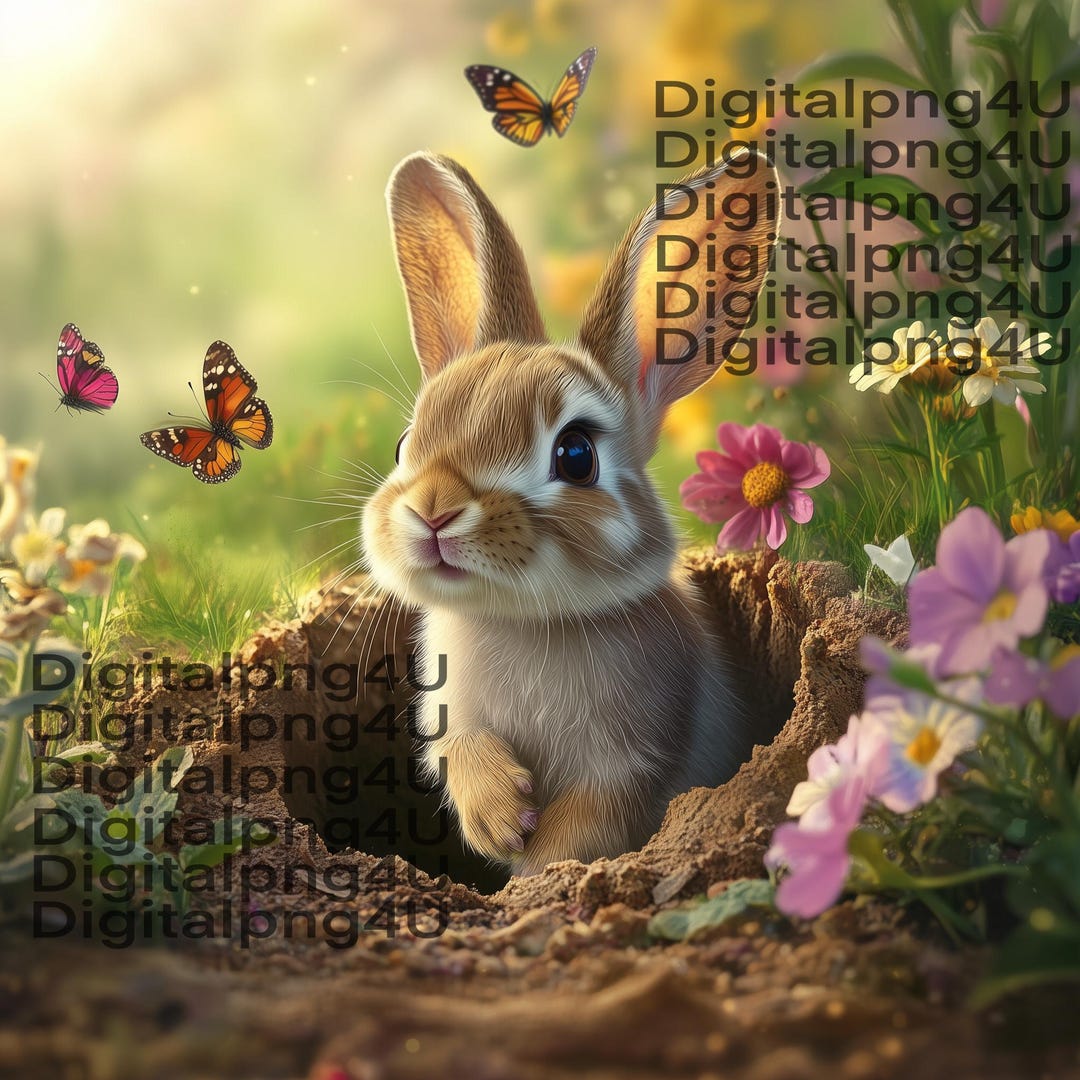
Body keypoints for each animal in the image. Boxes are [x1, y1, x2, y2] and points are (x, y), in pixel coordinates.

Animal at [362, 149, 779, 876]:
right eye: (405, 445)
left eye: (576, 454)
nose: (435, 513)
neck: (524, 622)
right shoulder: (454, 719)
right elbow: (460, 750)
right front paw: (499, 818)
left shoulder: (633, 762)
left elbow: (582, 828)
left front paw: (530, 876)